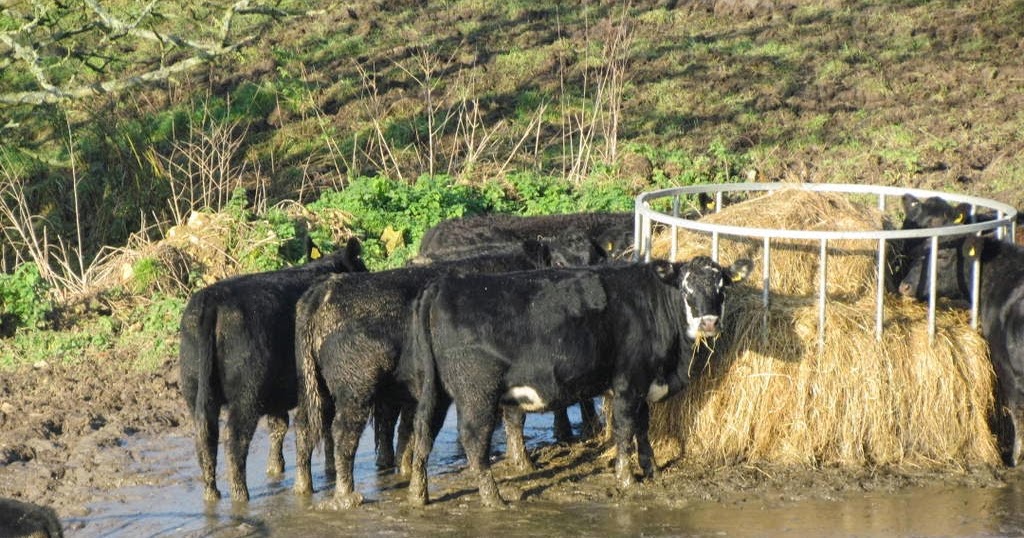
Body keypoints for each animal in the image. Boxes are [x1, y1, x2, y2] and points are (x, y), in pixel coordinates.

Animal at [178, 237, 367, 502]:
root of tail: (211, 300)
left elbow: (279, 426)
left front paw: (275, 468)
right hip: (246, 395)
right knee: (234, 440)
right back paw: (240, 494)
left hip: (194, 389)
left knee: (205, 438)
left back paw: (212, 493)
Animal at [292, 241, 558, 509]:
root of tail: (324, 290)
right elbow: (515, 419)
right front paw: (525, 465)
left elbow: (408, 432)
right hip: (355, 389)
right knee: (342, 434)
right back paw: (347, 495)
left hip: (315, 387)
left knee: (304, 427)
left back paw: (303, 487)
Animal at [404, 256, 753, 507]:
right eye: (686, 289)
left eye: (721, 288)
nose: (709, 323)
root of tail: (445, 283)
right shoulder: (628, 382)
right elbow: (625, 430)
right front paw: (626, 480)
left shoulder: (642, 386)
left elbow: (643, 429)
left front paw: (652, 472)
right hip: (477, 393)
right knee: (474, 440)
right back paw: (494, 499)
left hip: (435, 390)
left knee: (424, 432)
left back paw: (418, 495)